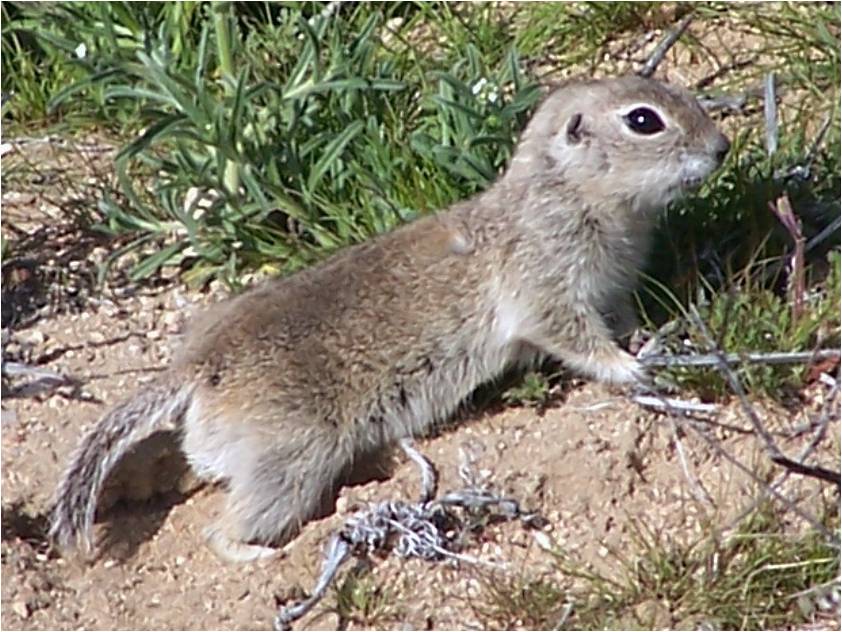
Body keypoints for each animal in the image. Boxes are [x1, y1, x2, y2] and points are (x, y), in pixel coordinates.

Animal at [49, 75, 724, 564]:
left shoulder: (612, 288)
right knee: (219, 531)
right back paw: (266, 556)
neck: (571, 194)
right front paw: (633, 368)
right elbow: (575, 337)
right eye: (644, 119)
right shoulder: (545, 286)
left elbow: (620, 316)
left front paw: (652, 338)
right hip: (289, 460)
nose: (721, 147)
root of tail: (196, 367)